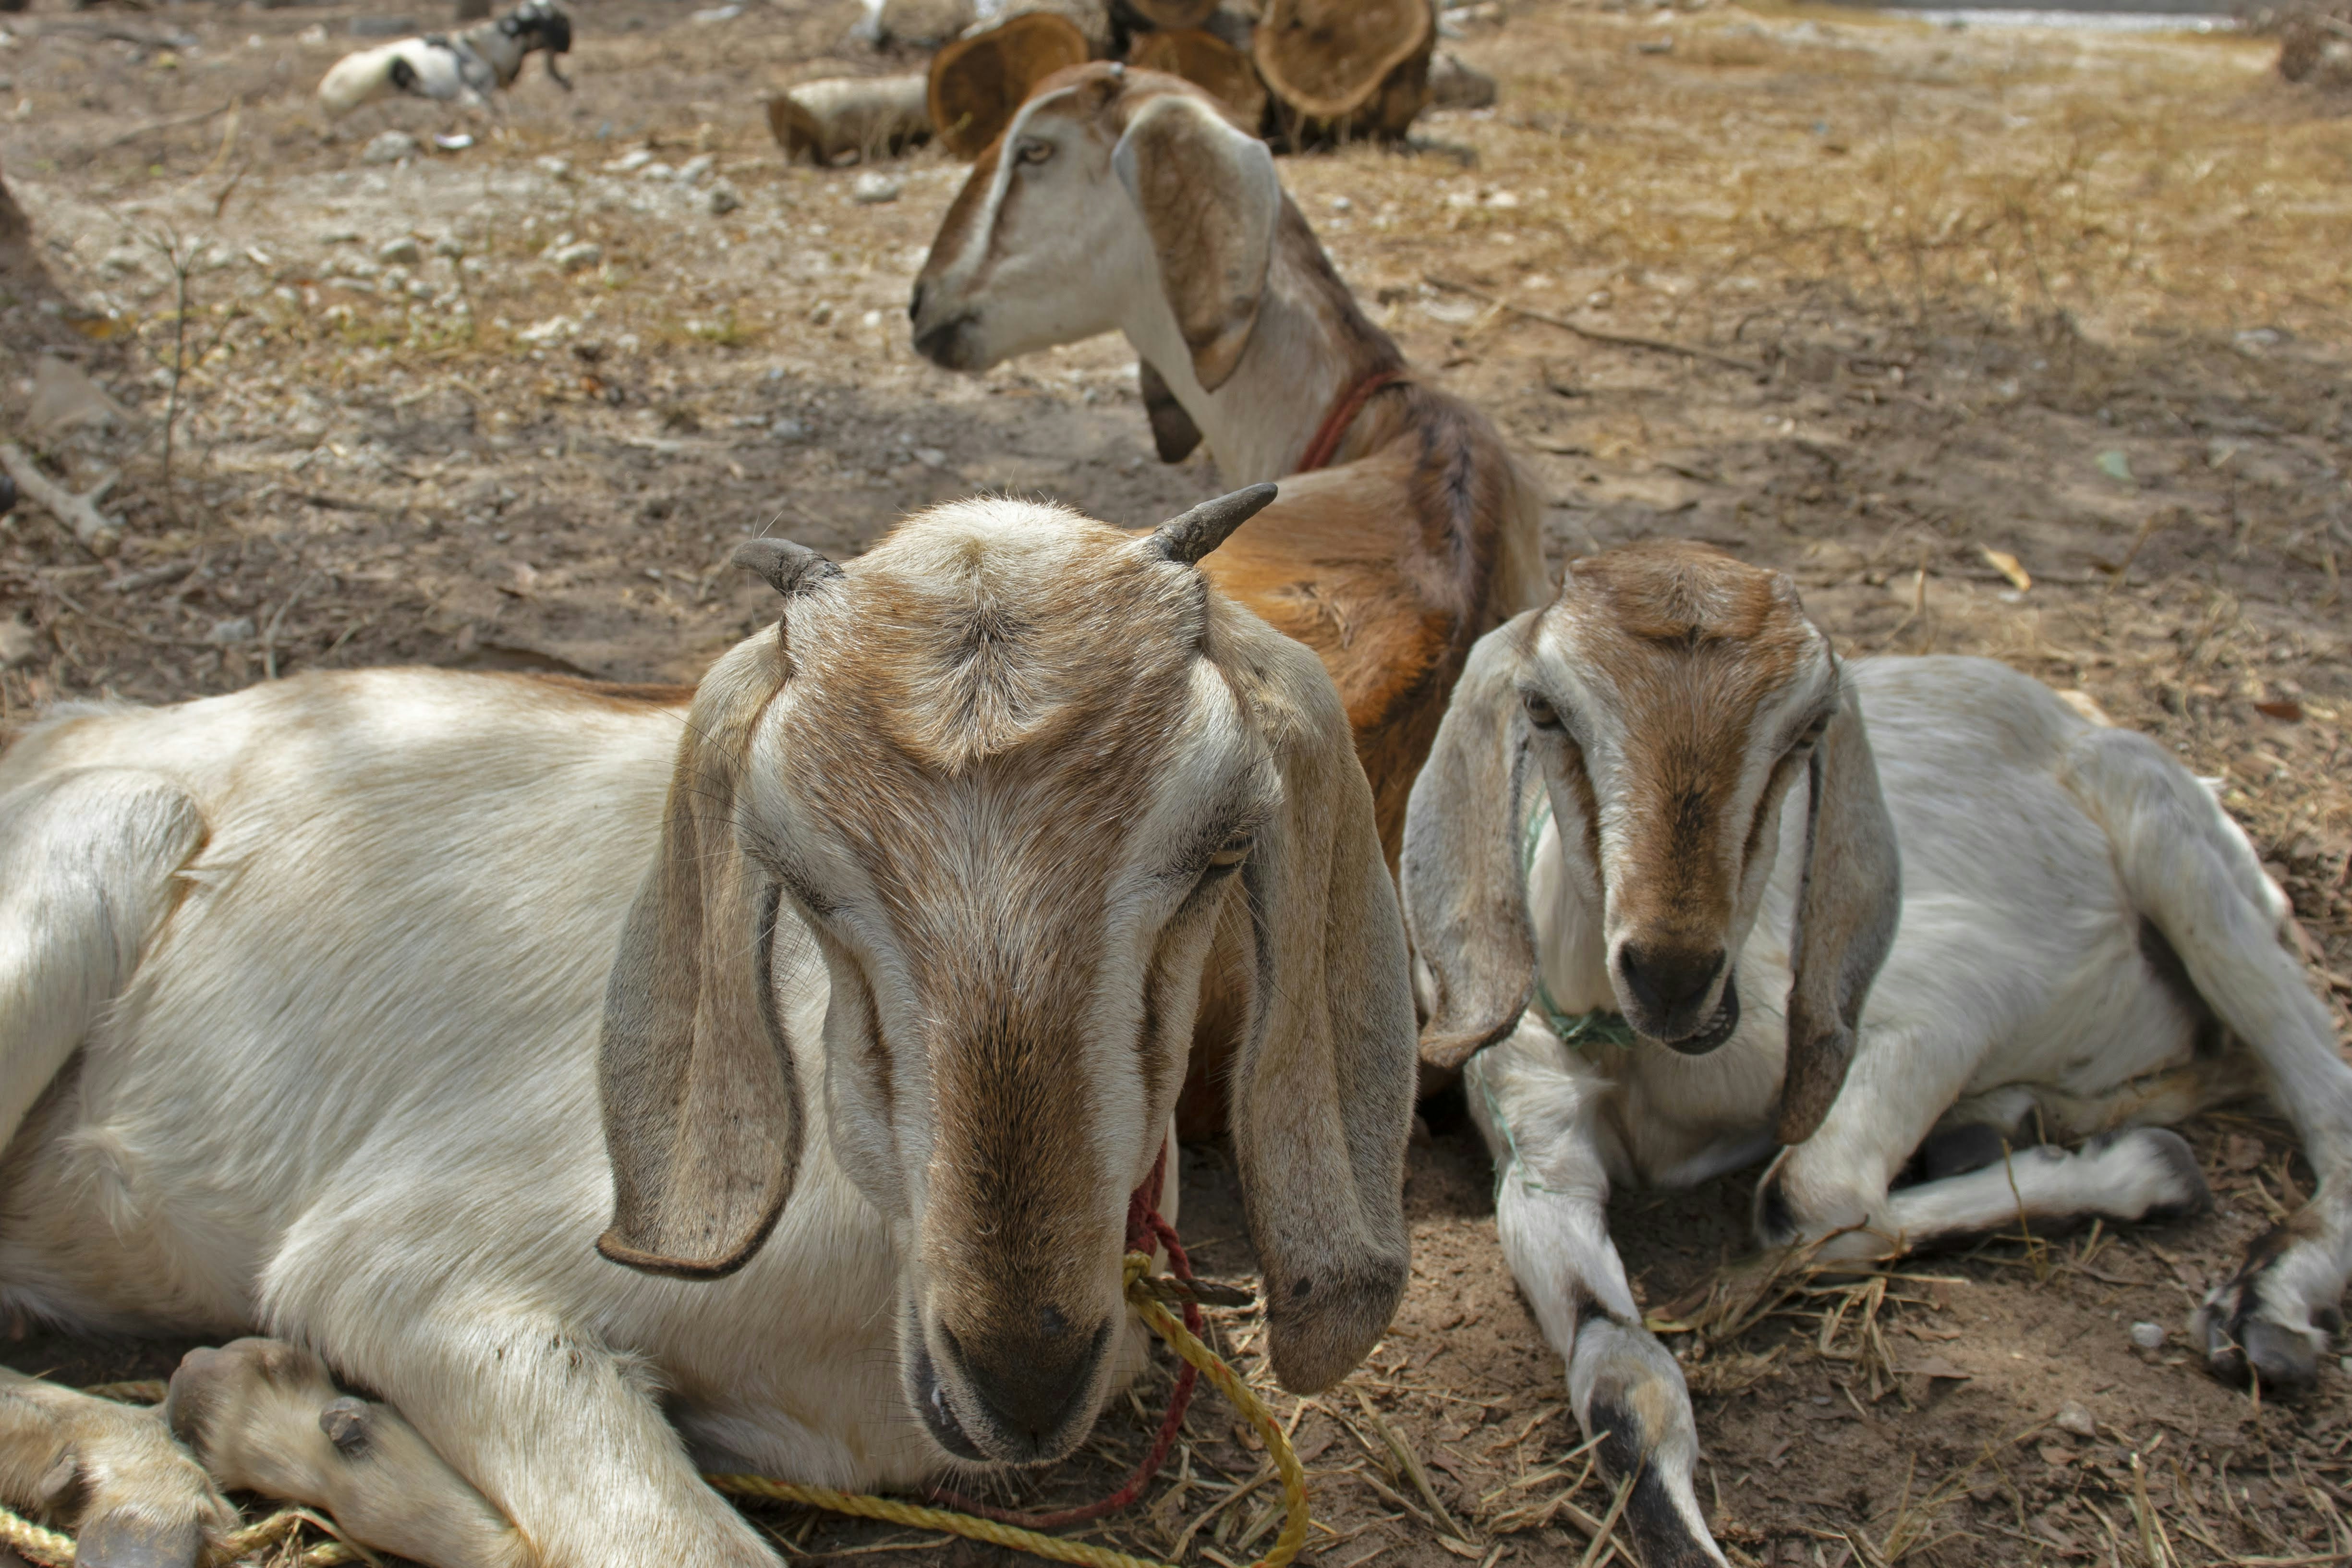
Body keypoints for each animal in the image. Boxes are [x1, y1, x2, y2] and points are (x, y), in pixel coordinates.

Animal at [0, 491, 1417, 1568]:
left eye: (1219, 846)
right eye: (791, 866)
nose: (1020, 1374)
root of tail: (73, 727)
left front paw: (289, 1416)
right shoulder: (401, 1267)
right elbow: (674, 1544)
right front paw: (270, 1409)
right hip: (108, 843)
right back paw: (129, 1472)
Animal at [1401, 540, 2352, 1568]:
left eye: (1808, 726)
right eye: (1544, 708)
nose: (1672, 974)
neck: (1648, 1065)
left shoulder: (1942, 1004)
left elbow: (1803, 1197)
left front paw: (2149, 1172)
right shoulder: (1539, 1150)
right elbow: (1625, 1385)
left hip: (2174, 852)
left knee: (2325, 1098)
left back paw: (2263, 1309)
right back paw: (2021, 1126)